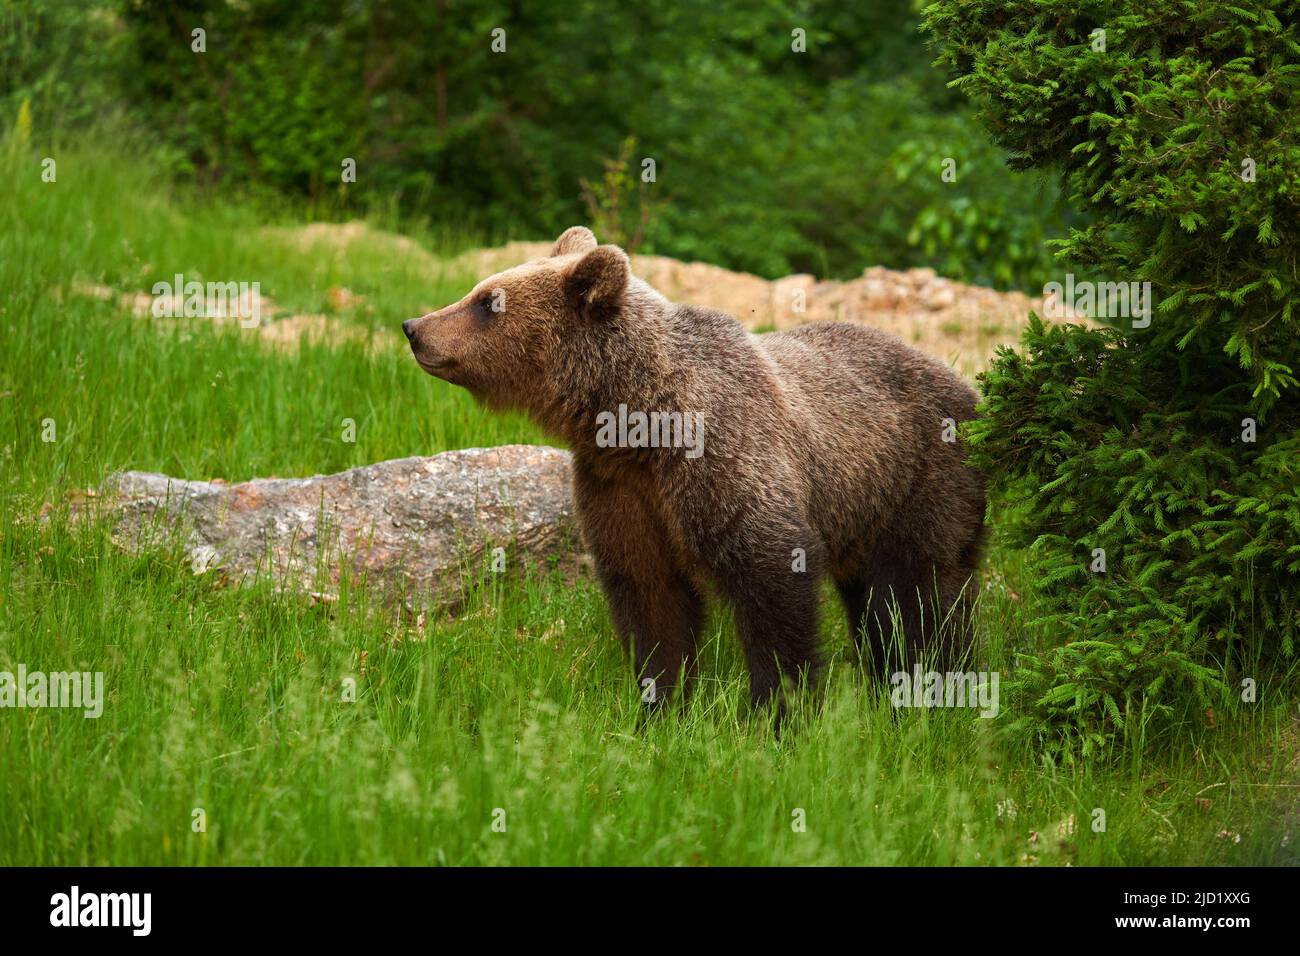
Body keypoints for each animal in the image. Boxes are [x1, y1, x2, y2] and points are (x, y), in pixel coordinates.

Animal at [403, 226, 986, 719]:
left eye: (488, 302)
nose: (414, 328)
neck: (639, 423)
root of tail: (968, 388)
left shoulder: (726, 460)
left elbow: (772, 586)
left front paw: (776, 713)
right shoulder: (618, 488)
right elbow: (649, 597)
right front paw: (661, 705)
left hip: (918, 484)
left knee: (918, 599)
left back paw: (927, 690)